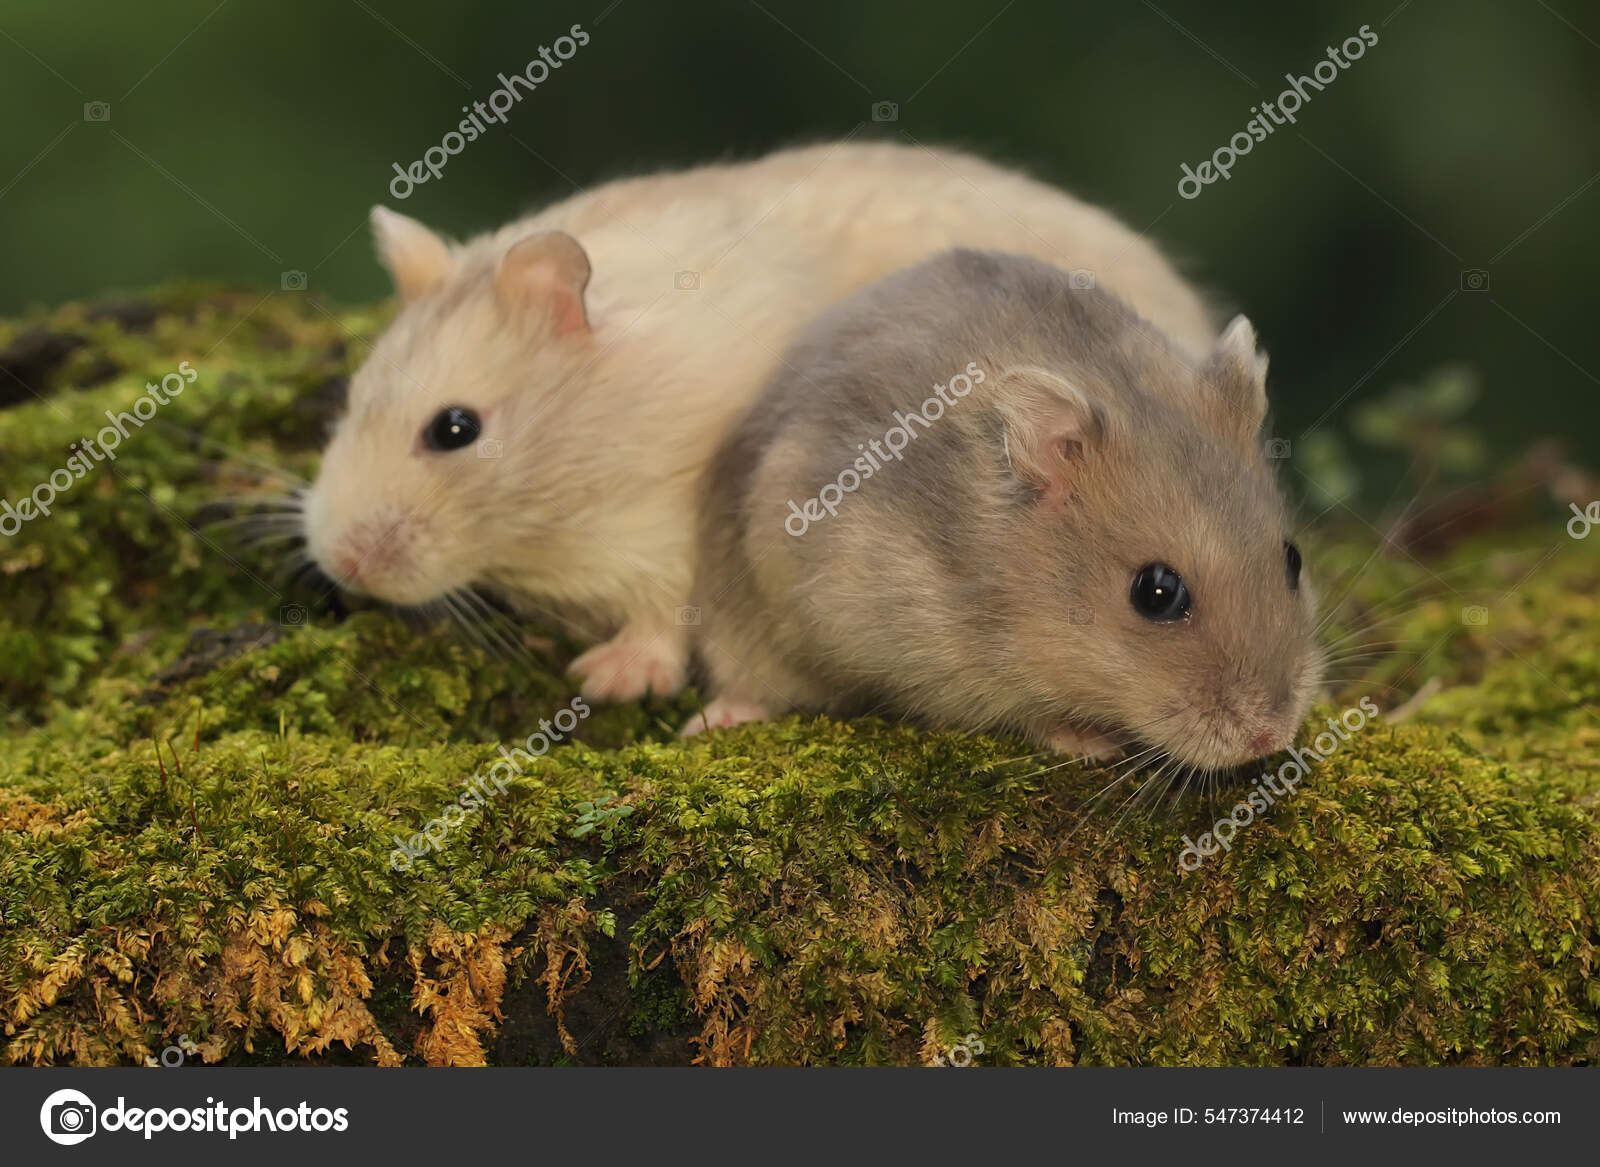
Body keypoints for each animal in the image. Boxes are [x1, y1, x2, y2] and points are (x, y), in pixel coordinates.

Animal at [300, 142, 1218, 703]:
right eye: (351, 398)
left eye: (454, 429)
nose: (342, 565)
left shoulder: (684, 529)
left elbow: (665, 612)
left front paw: (608, 678)